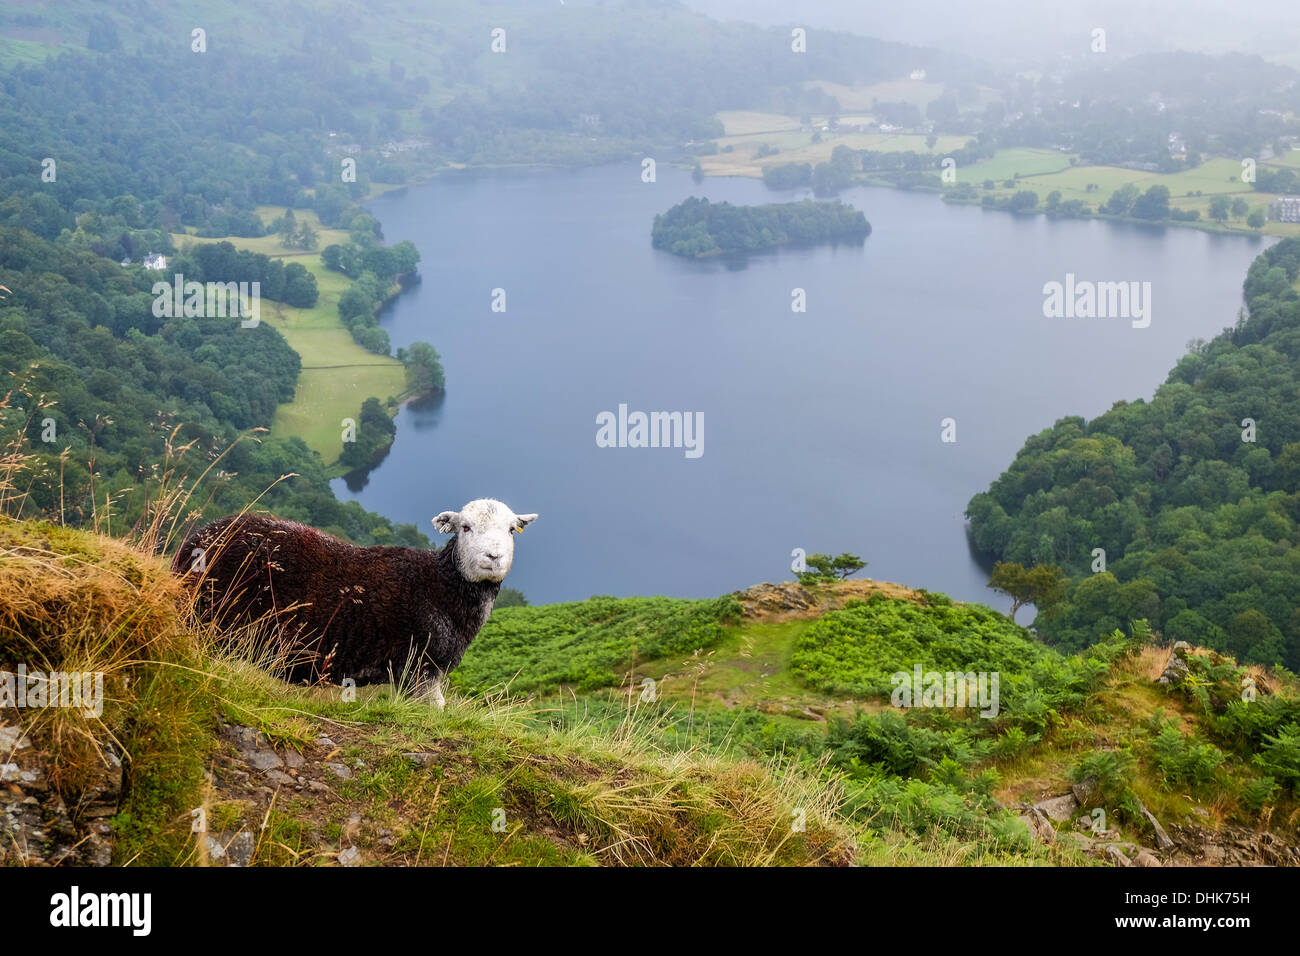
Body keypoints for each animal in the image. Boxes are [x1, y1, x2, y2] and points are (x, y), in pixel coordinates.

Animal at [172, 499, 538, 707]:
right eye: (465, 527)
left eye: (511, 530)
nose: (494, 557)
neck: (440, 586)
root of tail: (195, 540)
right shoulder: (419, 669)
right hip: (208, 619)